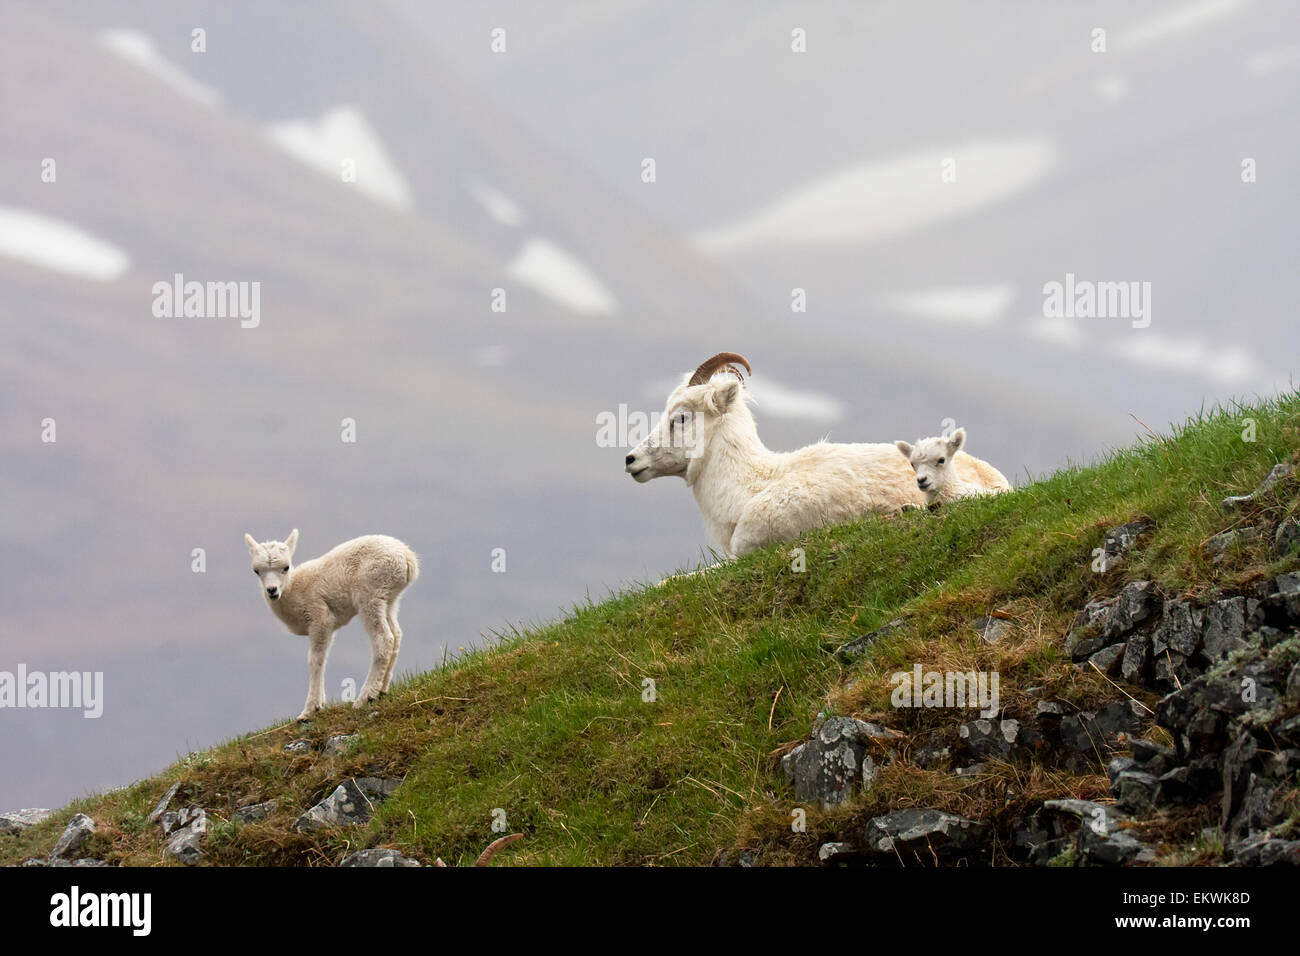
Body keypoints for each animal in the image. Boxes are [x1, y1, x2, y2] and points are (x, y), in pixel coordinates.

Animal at [244, 529, 419, 721]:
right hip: (390, 599)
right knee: (396, 635)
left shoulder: (320, 618)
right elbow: (323, 658)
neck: (292, 591)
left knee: (384, 639)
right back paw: (381, 689)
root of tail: (408, 559)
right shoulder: (327, 627)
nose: (272, 591)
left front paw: (308, 711)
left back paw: (365, 697)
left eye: (286, 567)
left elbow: (315, 660)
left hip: (370, 596)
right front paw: (320, 704)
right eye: (256, 571)